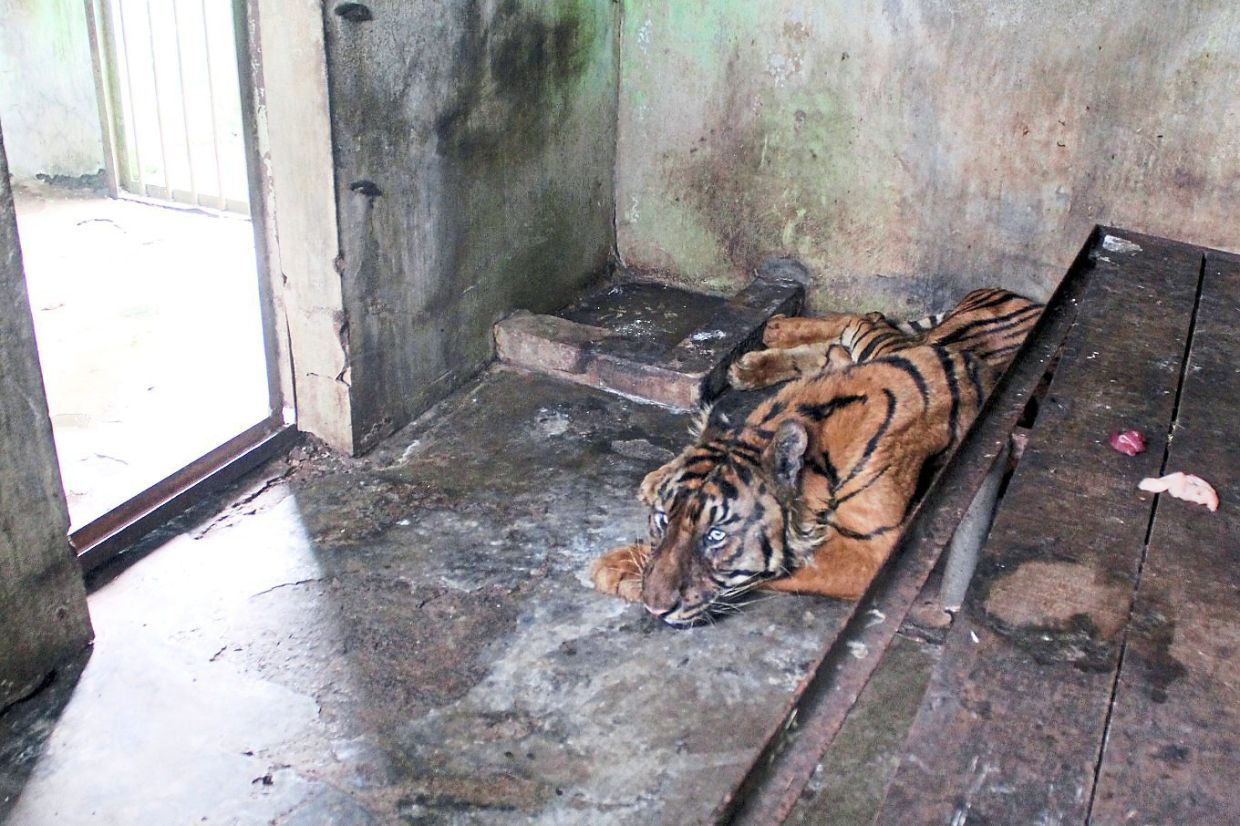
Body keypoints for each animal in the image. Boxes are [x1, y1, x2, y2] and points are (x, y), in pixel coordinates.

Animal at [590, 341, 999, 626]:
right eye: (662, 520)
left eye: (715, 536)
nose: (654, 607)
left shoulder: (874, 551)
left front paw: (618, 569)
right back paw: (746, 368)